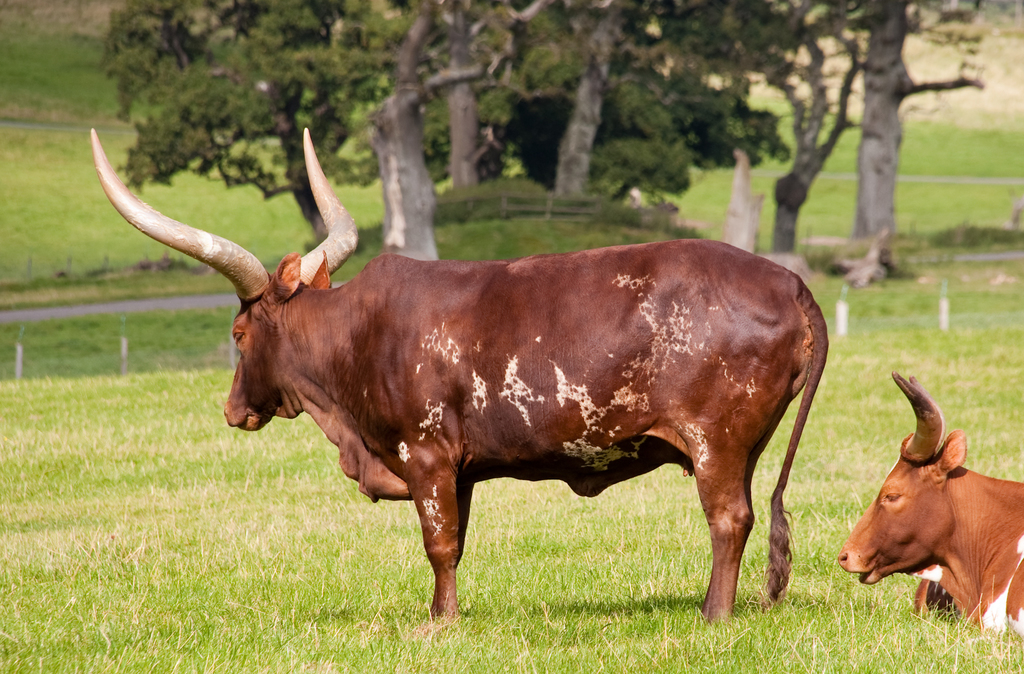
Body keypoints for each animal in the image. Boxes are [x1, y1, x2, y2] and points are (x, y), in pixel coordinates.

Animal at [91, 128, 828, 622]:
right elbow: (460, 541)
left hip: (717, 442)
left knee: (729, 520)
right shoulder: (461, 469)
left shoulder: (426, 454)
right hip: (744, 447)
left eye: (239, 335)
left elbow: (439, 543)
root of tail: (788, 281)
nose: (233, 409)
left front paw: (438, 623)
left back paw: (714, 615)